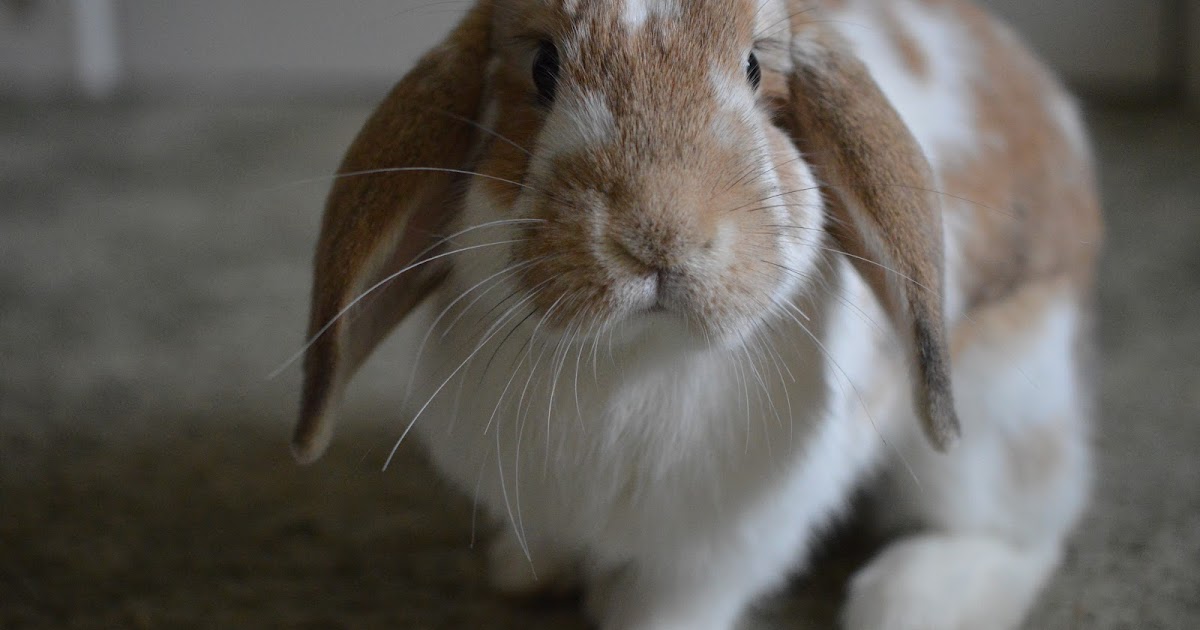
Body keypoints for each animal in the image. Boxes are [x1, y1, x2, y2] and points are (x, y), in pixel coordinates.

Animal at [290, 1, 1103, 628]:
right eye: (543, 68)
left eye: (753, 68)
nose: (660, 232)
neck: (637, 361)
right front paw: (533, 569)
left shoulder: (724, 546)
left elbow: (665, 604)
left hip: (992, 421)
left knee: (1026, 531)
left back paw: (909, 601)